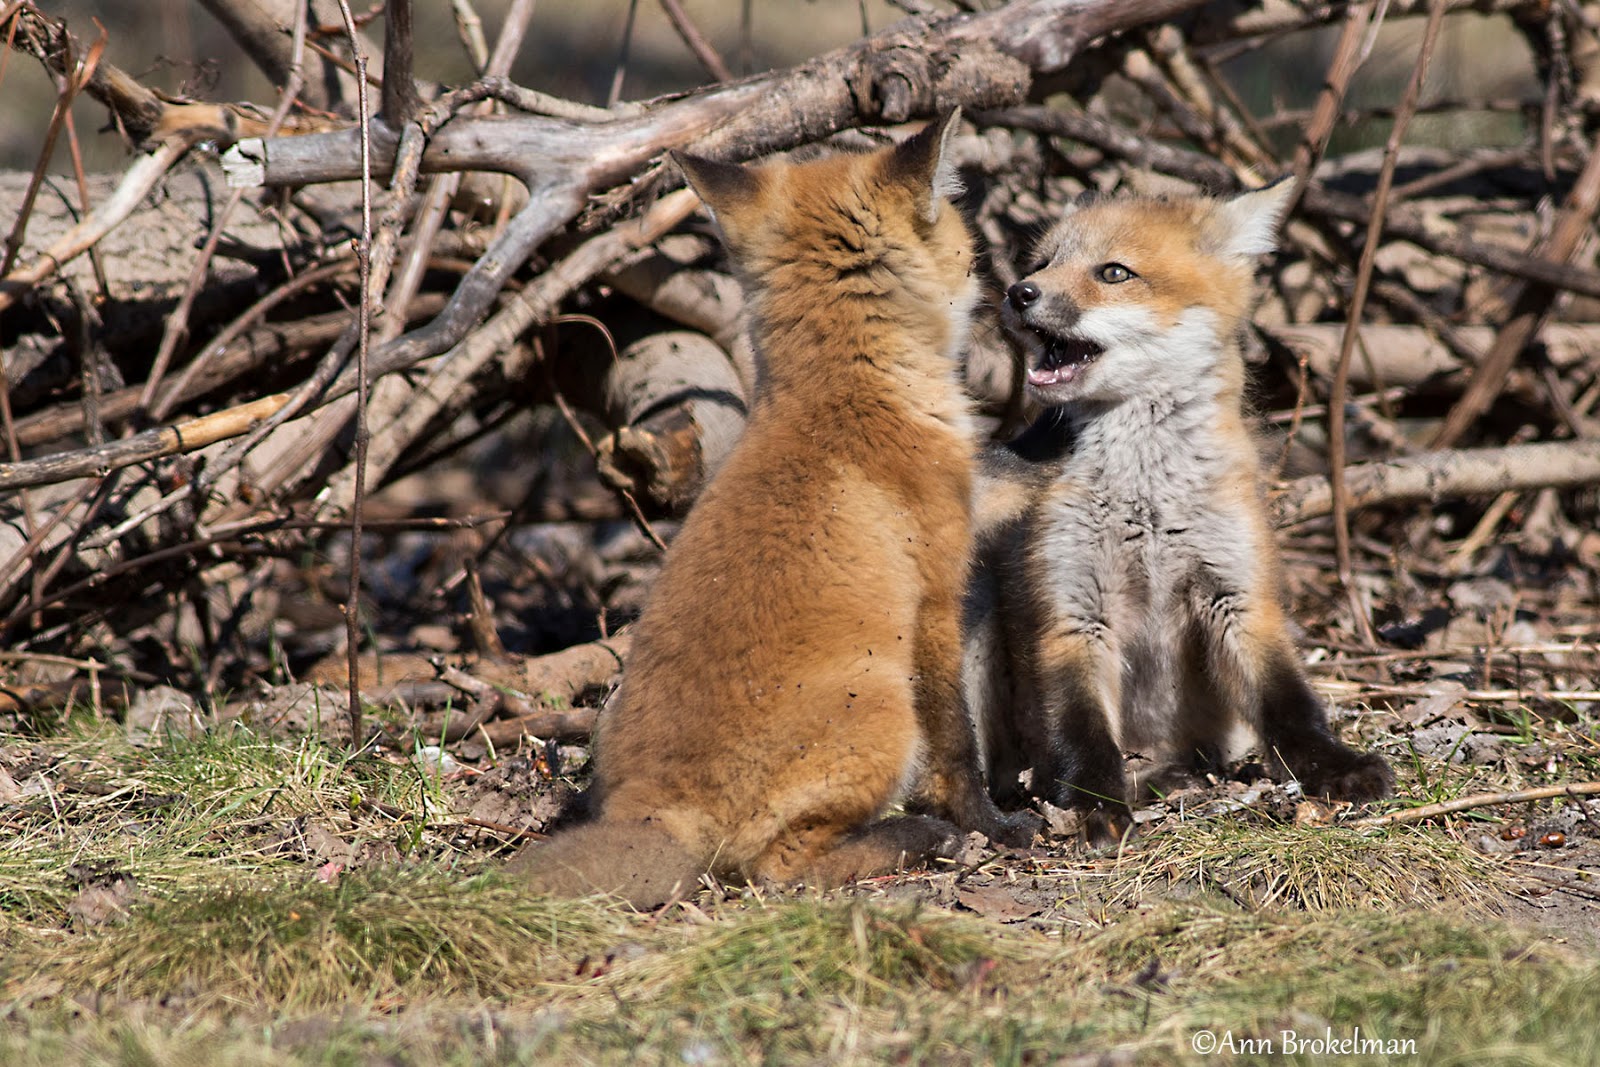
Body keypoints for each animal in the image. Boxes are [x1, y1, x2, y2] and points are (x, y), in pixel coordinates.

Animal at [507, 111, 1024, 907]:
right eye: (967, 246)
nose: (1002, 287)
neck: (848, 393)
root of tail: (657, 813)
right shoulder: (938, 594)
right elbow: (958, 745)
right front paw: (991, 824)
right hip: (882, 707)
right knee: (778, 870)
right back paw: (918, 838)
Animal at [963, 181, 1392, 841]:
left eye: (1114, 272)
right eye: (1043, 264)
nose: (1018, 293)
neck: (1149, 503)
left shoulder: (1238, 596)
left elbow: (1290, 705)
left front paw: (1334, 767)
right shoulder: (1071, 610)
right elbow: (1081, 730)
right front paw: (1093, 804)